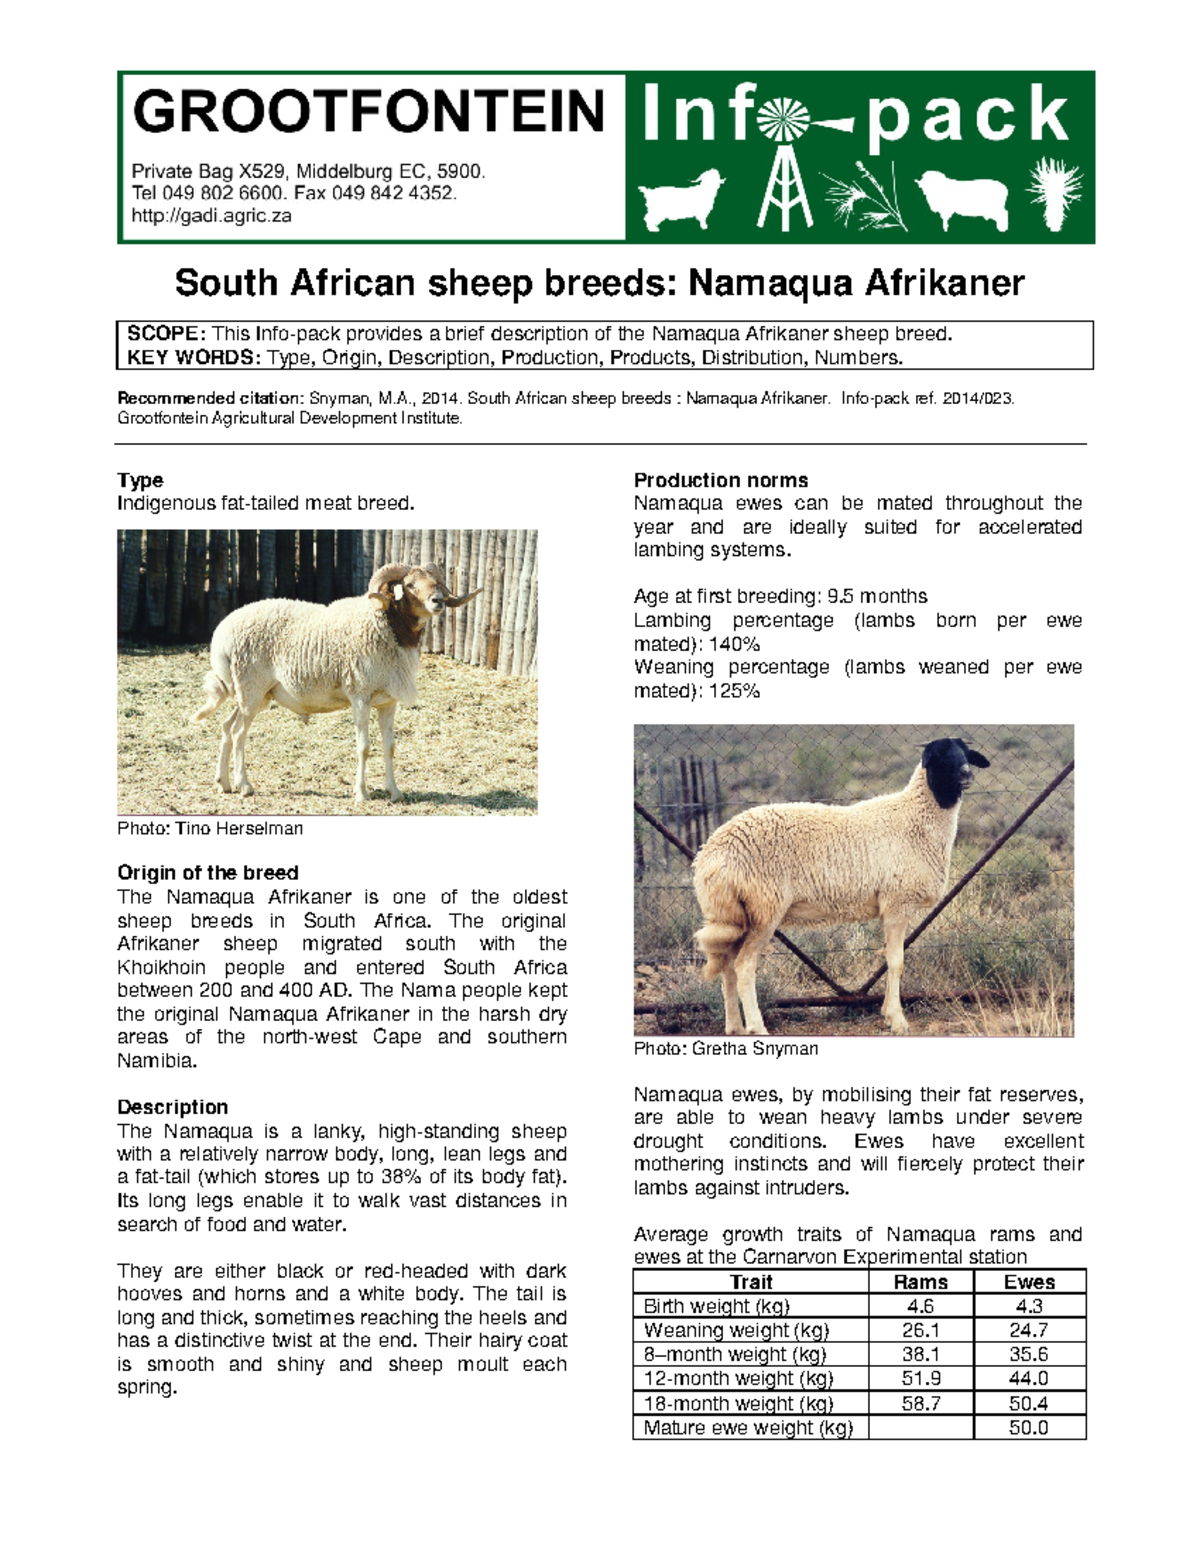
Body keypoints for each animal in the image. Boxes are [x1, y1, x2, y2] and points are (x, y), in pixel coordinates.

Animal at [192, 562, 480, 803]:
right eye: (409, 585)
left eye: (435, 582)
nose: (438, 601)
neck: (385, 625)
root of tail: (222, 633)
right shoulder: (360, 696)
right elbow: (364, 747)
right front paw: (361, 794)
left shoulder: (388, 702)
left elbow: (390, 747)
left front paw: (395, 792)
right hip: (251, 687)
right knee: (239, 733)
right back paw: (244, 785)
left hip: (255, 693)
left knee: (227, 727)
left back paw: (223, 783)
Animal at [692, 737, 990, 1036]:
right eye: (940, 755)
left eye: (966, 754)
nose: (966, 774)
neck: (915, 817)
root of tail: (710, 856)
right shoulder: (897, 902)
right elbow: (896, 962)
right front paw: (897, 1019)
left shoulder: (891, 906)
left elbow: (890, 960)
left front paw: (887, 1013)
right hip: (764, 908)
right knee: (743, 967)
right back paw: (756, 1027)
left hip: (738, 915)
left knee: (728, 967)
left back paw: (735, 1027)